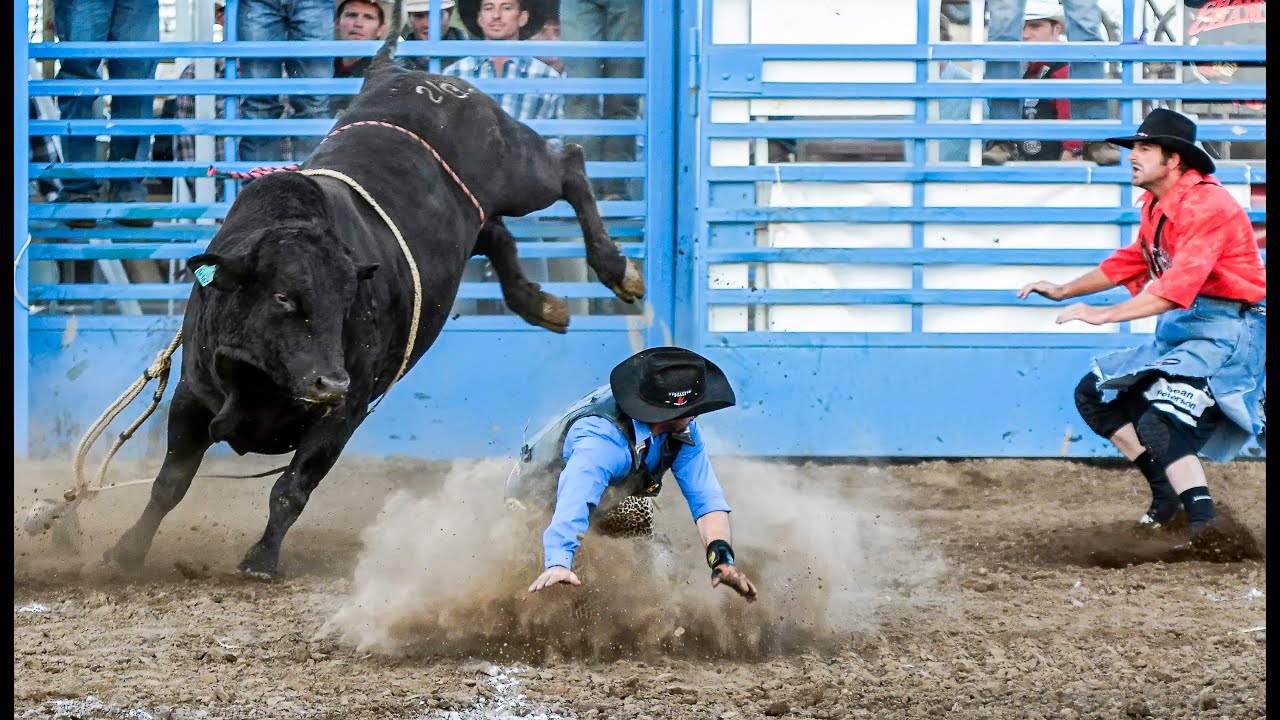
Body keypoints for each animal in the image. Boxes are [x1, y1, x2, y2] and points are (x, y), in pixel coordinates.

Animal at [101, 0, 645, 579]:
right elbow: (169, 484)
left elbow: (290, 489)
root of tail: (402, 73)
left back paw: (615, 268)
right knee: (497, 232)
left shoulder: (346, 412)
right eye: (282, 297)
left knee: (568, 163)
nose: (328, 382)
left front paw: (261, 558)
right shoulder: (191, 396)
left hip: (518, 171)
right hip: (474, 215)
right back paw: (540, 303)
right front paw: (125, 551)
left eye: (346, 302)